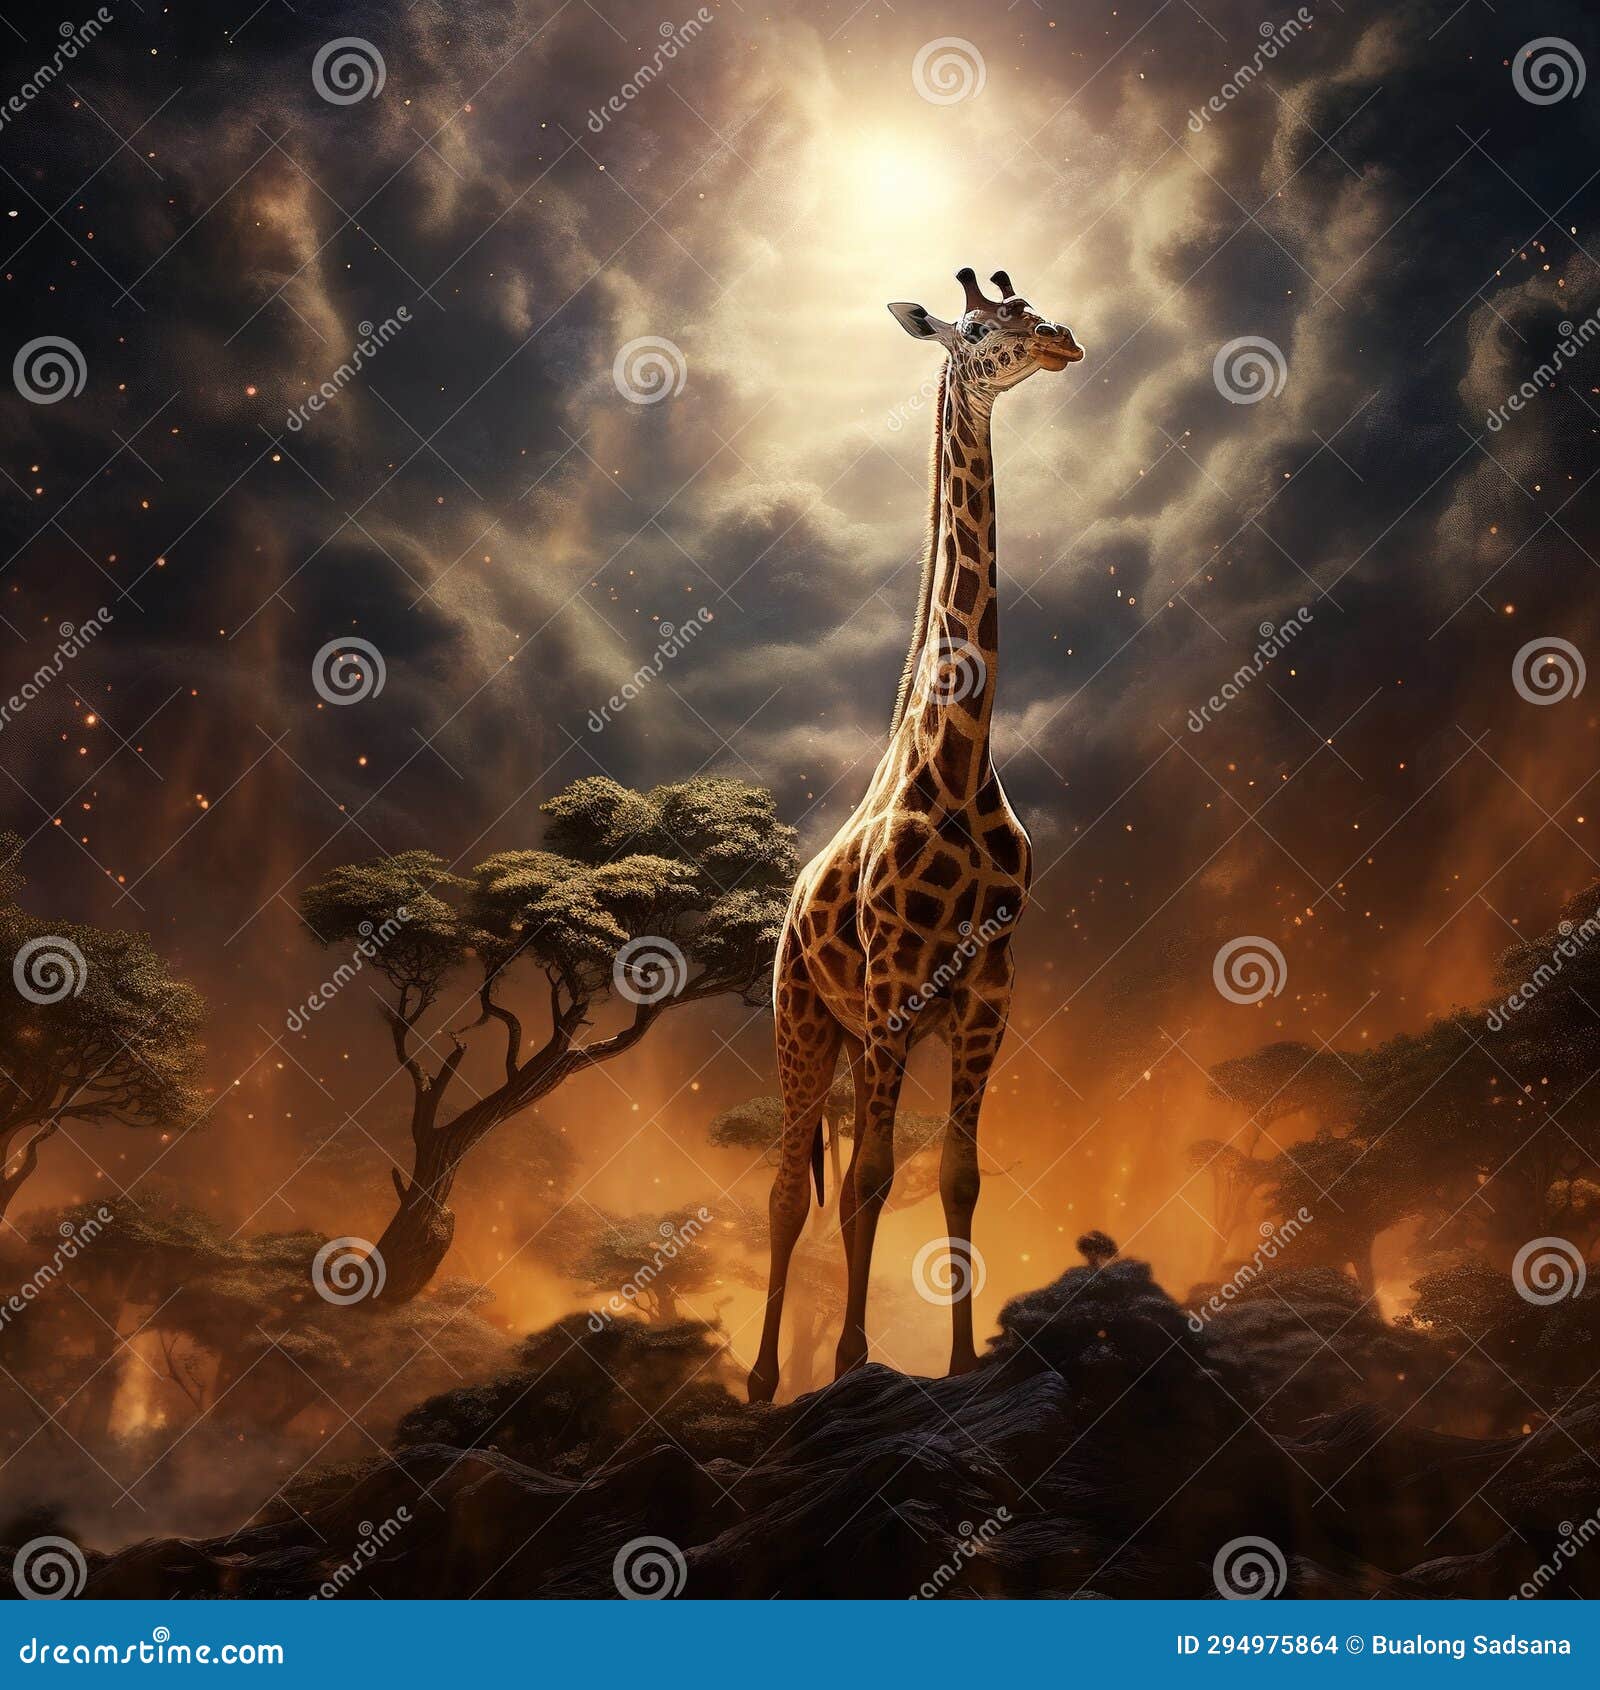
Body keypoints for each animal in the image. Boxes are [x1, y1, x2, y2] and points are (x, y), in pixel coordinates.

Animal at [747, 268, 1084, 1404]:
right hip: (805, 1020)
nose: (1063, 340)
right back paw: (766, 1382)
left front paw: (963, 1361)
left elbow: (954, 1176)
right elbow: (869, 1181)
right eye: (977, 328)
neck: (960, 760)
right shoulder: (897, 987)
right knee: (789, 1188)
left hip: (859, 1037)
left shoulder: (987, 992)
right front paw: (855, 1364)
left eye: (1034, 307)